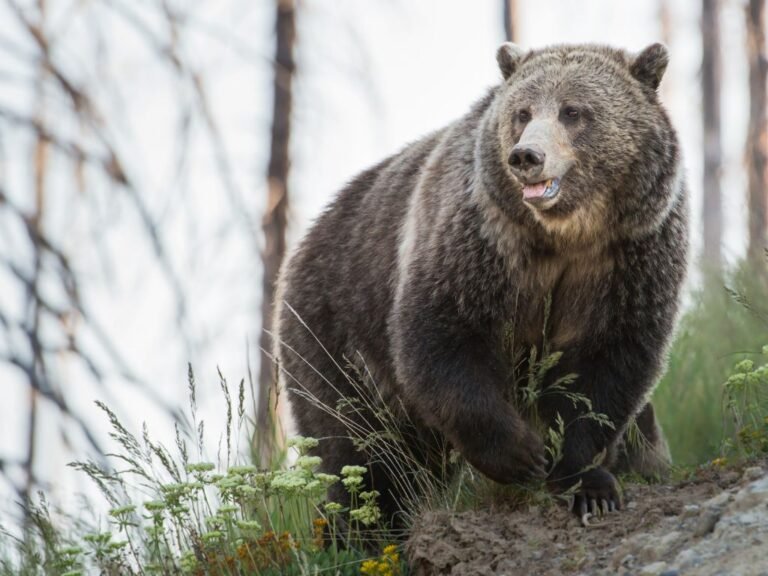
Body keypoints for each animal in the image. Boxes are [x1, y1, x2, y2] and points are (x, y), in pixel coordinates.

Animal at [274, 42, 688, 525]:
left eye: (573, 111)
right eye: (523, 112)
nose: (527, 156)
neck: (564, 236)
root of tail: (303, 244)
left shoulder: (629, 258)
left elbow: (607, 365)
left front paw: (588, 484)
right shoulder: (479, 242)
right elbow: (444, 338)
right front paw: (521, 454)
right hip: (338, 328)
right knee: (361, 448)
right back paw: (363, 524)